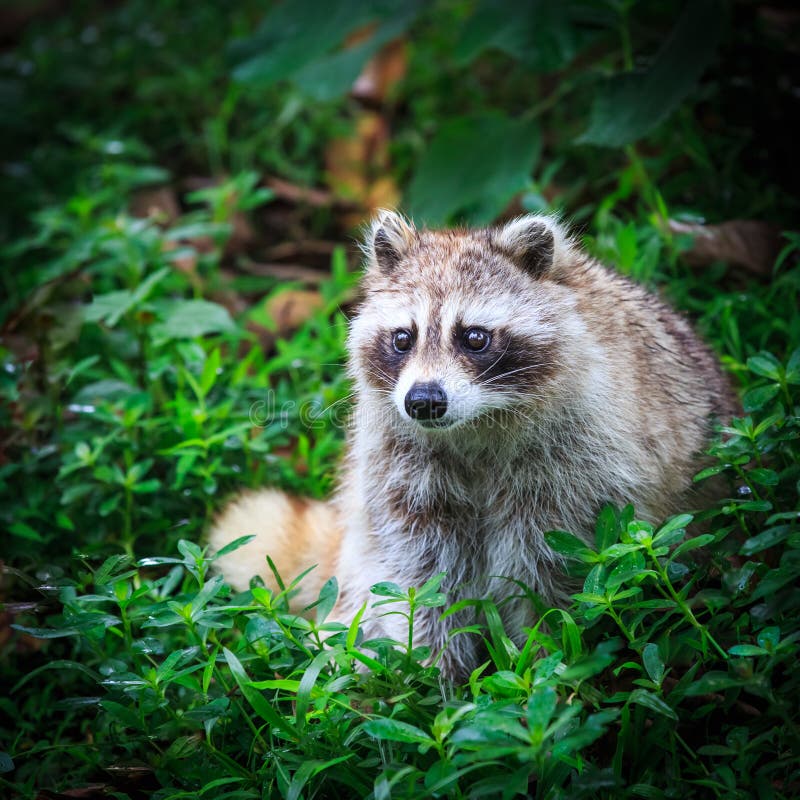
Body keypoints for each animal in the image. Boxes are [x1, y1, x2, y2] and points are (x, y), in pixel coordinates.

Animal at [209, 211, 736, 679]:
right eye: (403, 338)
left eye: (475, 337)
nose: (423, 402)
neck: (473, 424)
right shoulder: (399, 463)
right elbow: (422, 570)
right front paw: (430, 671)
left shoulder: (582, 462)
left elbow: (551, 568)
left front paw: (545, 658)